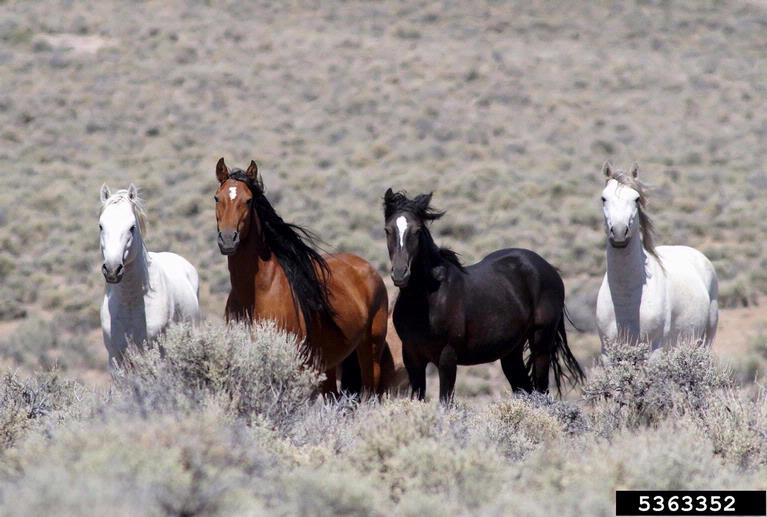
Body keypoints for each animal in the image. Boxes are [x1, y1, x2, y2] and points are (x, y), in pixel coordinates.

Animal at [213, 158, 389, 395]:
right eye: (217, 197)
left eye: (248, 200)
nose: (228, 240)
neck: (257, 291)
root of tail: (369, 269)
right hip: (330, 365)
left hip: (370, 353)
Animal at [383, 189, 584, 402]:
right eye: (388, 230)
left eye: (417, 231)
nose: (400, 274)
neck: (425, 301)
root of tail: (550, 269)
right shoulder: (413, 358)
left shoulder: (447, 358)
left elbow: (445, 401)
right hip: (511, 352)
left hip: (541, 343)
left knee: (541, 388)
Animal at [596, 162, 718, 350]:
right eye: (604, 198)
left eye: (636, 198)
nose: (619, 232)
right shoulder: (607, 351)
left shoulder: (655, 348)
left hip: (705, 341)